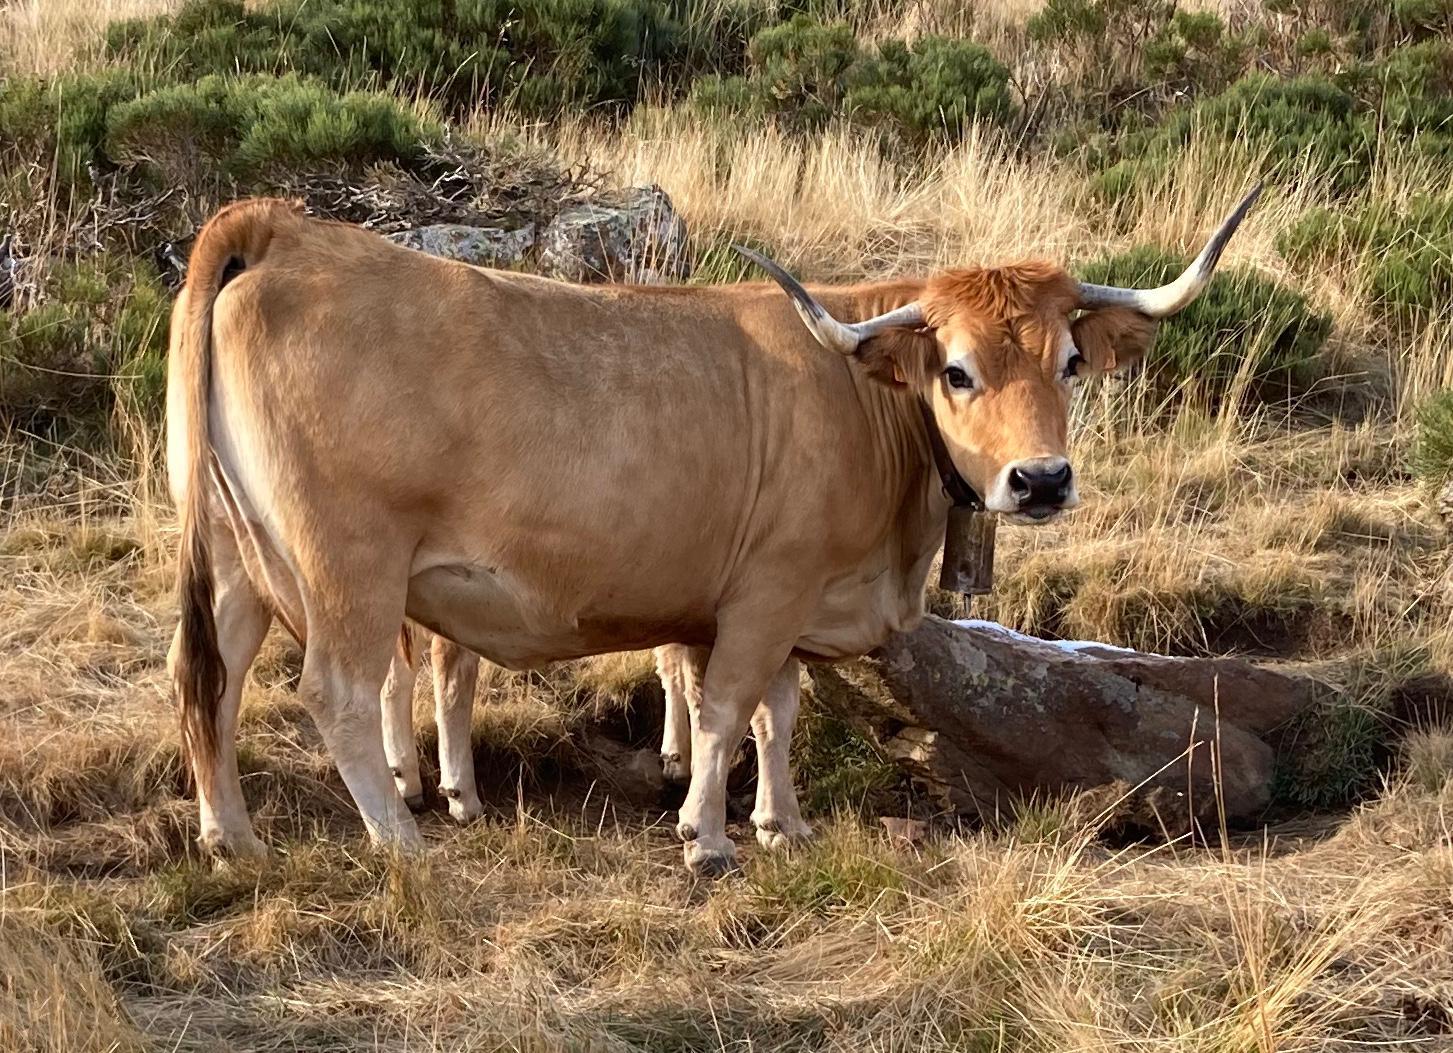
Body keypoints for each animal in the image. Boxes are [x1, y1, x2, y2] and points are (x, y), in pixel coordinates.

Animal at [167, 186, 1260, 873]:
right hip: (349, 564)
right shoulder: (767, 590)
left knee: (207, 681)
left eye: (1070, 361)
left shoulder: (784, 604)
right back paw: (401, 838)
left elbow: (778, 712)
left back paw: (233, 839)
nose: (1039, 480)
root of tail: (286, 231)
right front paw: (708, 835)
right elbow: (727, 707)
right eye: (956, 371)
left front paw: (782, 823)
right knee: (339, 691)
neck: (862, 394)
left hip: (233, 559)